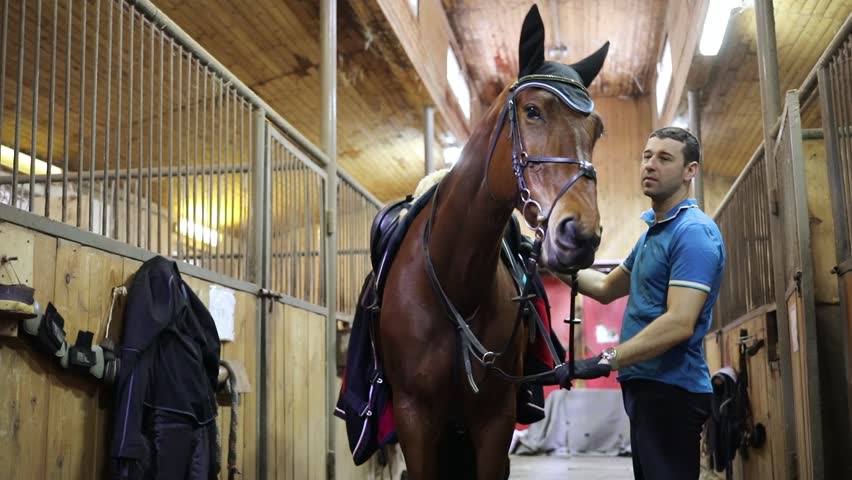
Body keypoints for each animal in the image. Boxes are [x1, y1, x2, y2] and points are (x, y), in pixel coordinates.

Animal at [378, 5, 609, 479]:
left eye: (596, 129)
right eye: (533, 110)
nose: (580, 234)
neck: (454, 285)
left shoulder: (494, 422)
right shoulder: (414, 417)